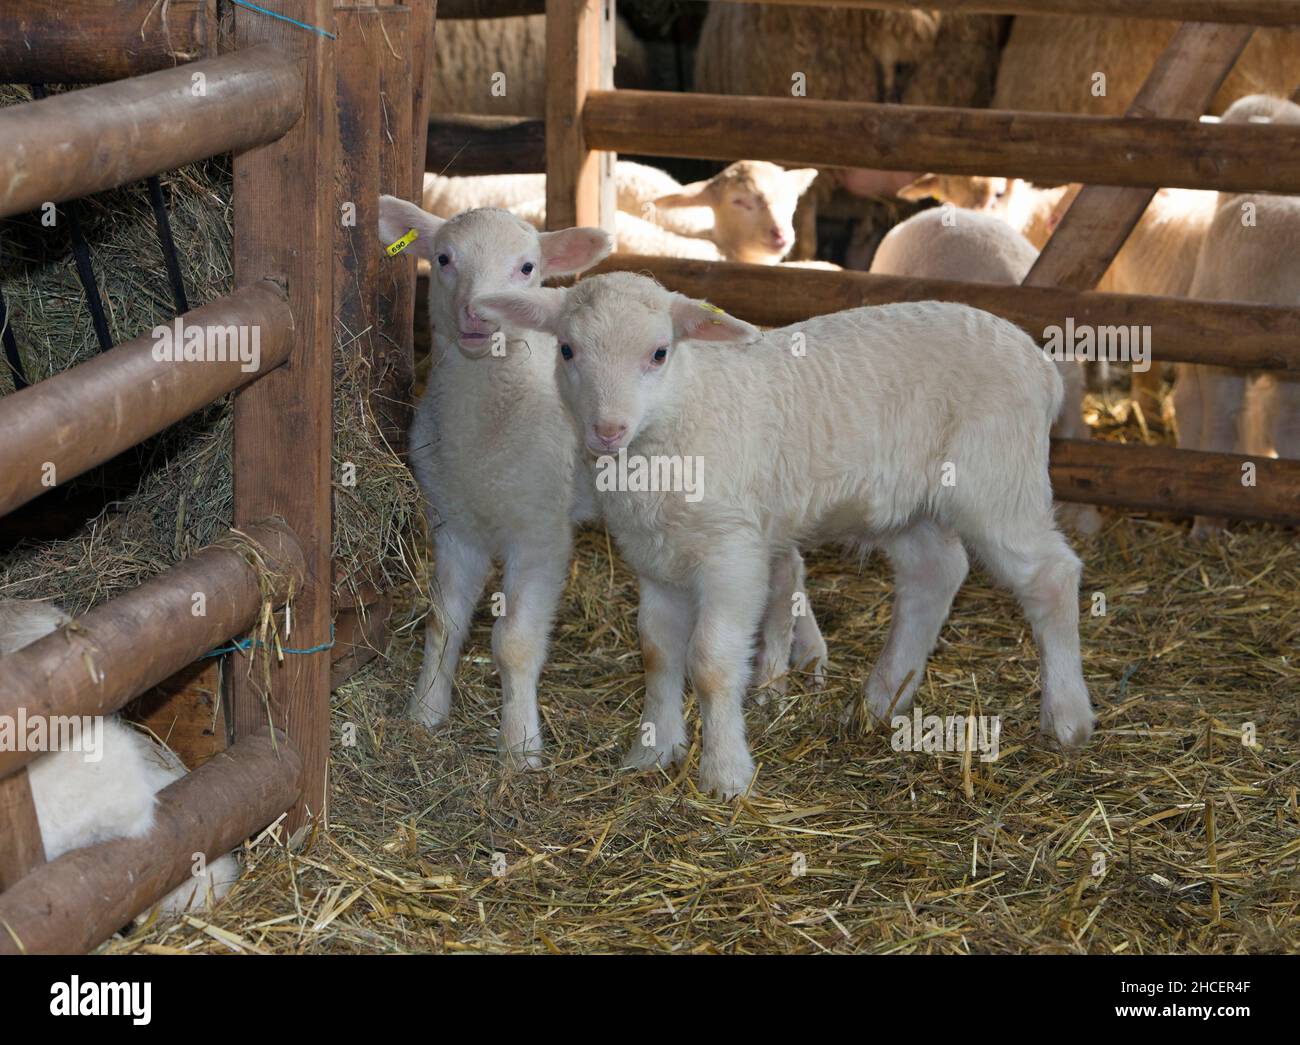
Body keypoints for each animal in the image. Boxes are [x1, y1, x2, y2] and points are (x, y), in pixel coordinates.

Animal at [376, 199, 827, 763]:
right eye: (442, 258)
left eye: (527, 267)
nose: (478, 315)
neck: (486, 426)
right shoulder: (455, 524)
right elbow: (444, 621)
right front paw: (425, 711)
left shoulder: (541, 531)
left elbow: (514, 641)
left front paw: (520, 747)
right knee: (786, 561)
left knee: (787, 570)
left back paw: (779, 673)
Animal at [476, 273, 1094, 798]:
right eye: (566, 350)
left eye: (659, 353)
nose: (608, 430)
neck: (679, 416)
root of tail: (1040, 364)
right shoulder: (655, 558)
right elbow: (657, 652)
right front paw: (653, 752)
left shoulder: (732, 553)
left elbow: (710, 663)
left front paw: (726, 774)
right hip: (911, 504)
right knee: (934, 575)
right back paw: (880, 702)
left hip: (998, 478)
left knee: (1050, 575)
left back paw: (1067, 717)